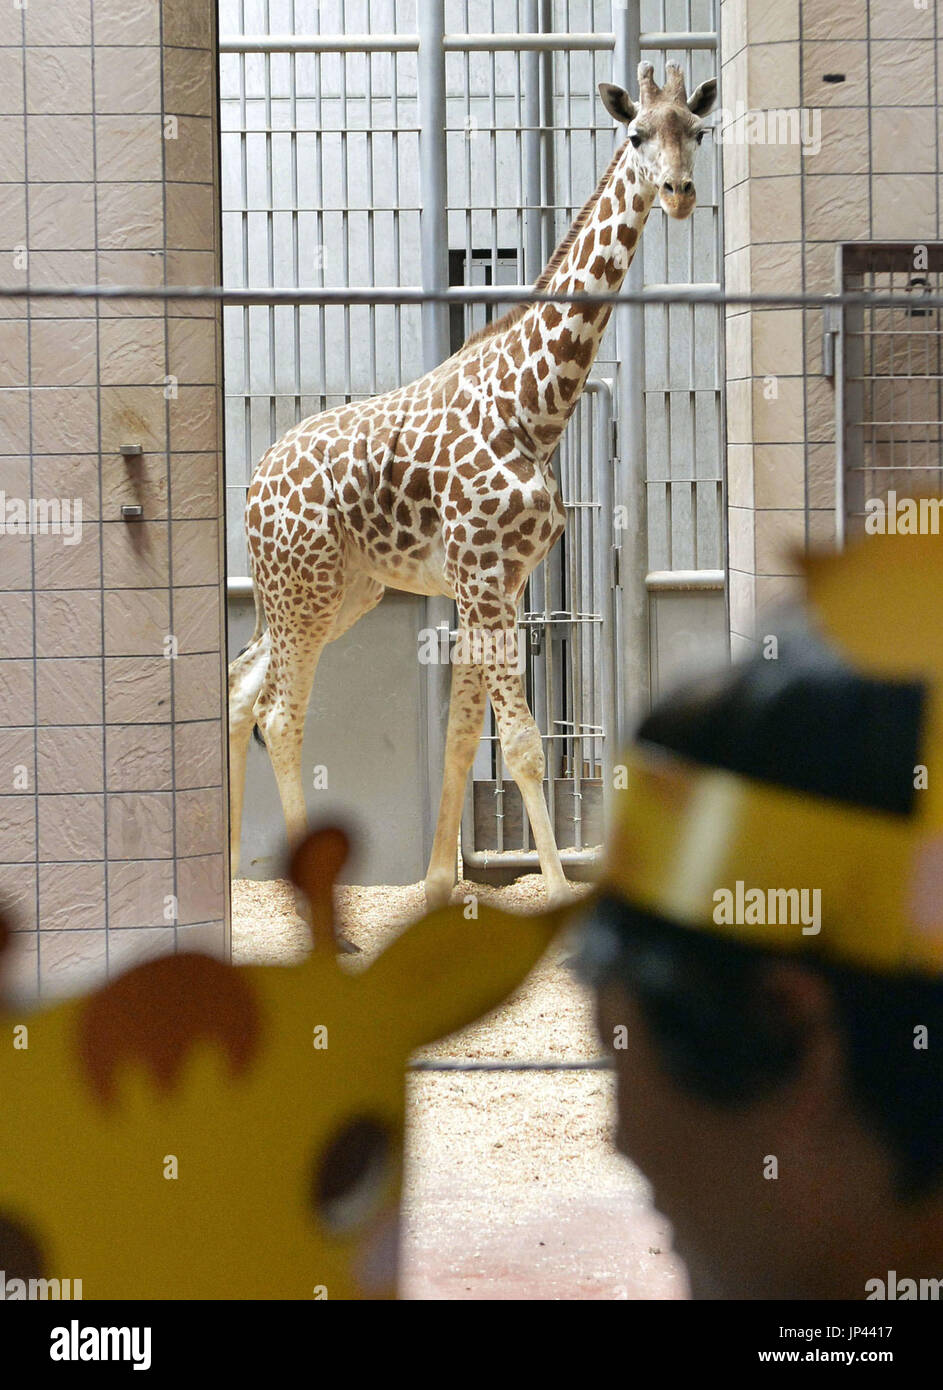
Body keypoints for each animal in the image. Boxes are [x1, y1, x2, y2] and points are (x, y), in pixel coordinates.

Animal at [228, 62, 717, 908]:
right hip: (307, 588)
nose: (680, 191)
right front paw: (552, 889)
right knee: (280, 712)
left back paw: (224, 871)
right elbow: (520, 743)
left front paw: (435, 885)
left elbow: (461, 738)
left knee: (238, 687)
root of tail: (256, 482)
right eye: (634, 134)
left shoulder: (497, 582)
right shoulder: (484, 578)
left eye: (695, 129)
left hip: (330, 591)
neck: (535, 409)